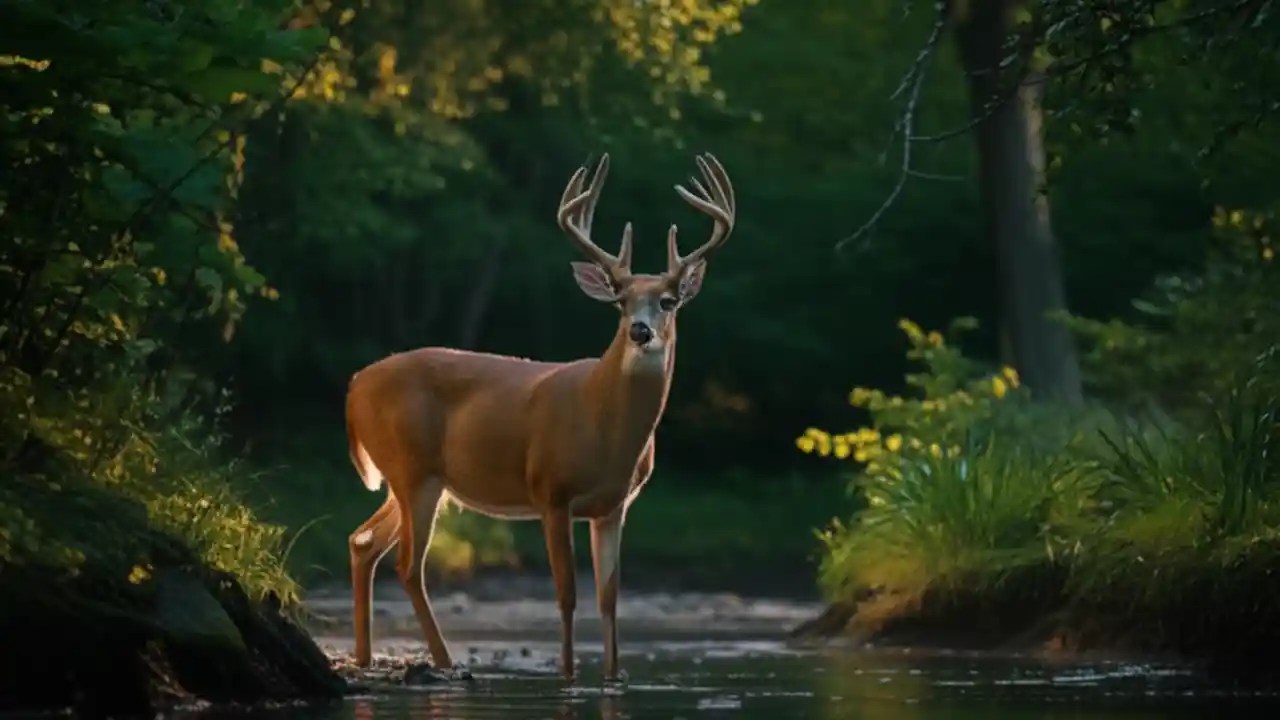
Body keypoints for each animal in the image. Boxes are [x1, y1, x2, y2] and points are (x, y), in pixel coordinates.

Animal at [343, 151, 735, 683]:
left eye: (668, 300)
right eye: (621, 300)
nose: (640, 330)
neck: (606, 427)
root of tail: (353, 385)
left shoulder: (616, 504)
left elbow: (610, 599)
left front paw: (613, 675)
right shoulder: (552, 491)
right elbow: (566, 594)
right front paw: (567, 675)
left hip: (413, 479)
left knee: (363, 543)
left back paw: (365, 658)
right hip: (413, 469)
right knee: (408, 565)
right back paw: (445, 661)